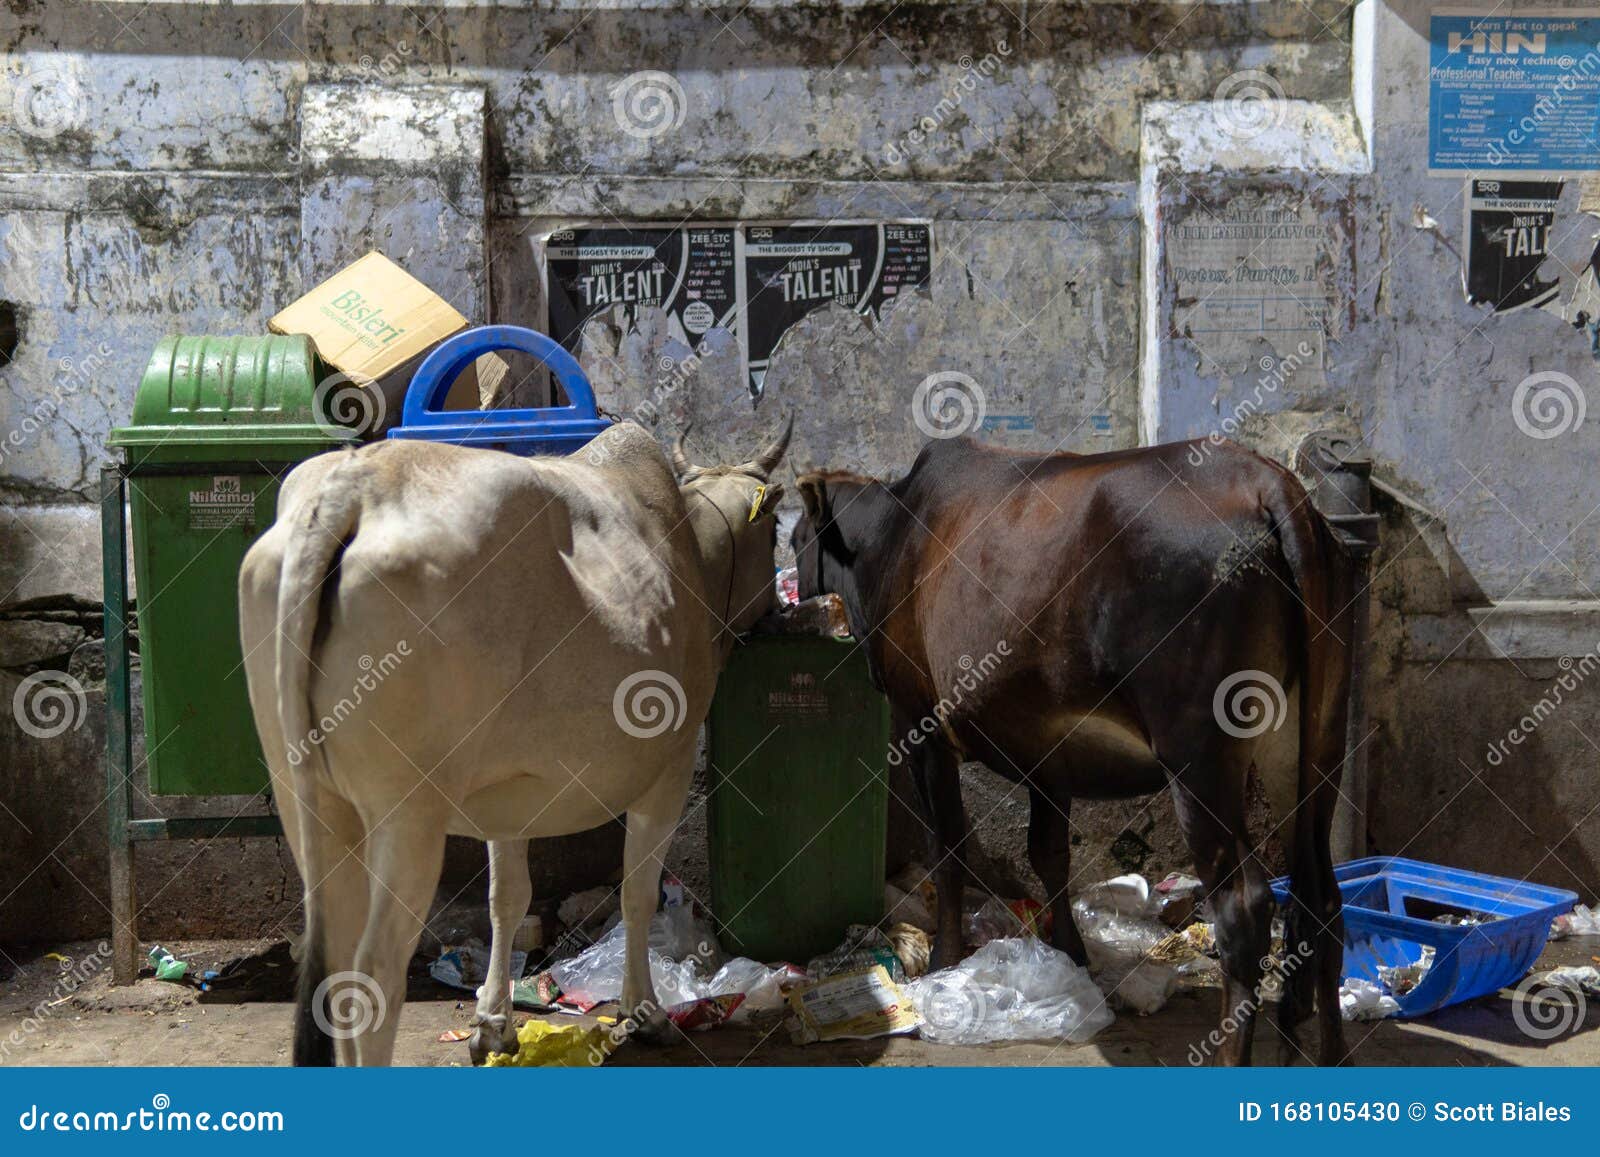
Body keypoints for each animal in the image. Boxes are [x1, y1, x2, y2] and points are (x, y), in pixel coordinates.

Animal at [239, 420, 790, 1065]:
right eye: (776, 531)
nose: (780, 608)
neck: (691, 557)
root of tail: (354, 483)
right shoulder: (670, 770)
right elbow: (637, 893)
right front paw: (645, 1012)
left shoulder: (509, 797)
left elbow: (507, 898)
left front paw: (493, 1023)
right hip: (409, 810)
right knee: (371, 975)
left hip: (310, 799)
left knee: (334, 961)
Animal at [791, 436, 1355, 1065]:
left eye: (793, 537)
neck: (892, 536)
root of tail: (1271, 484)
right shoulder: (1048, 751)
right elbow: (1048, 854)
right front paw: (1070, 952)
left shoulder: (923, 725)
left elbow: (949, 848)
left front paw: (944, 959)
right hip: (1313, 743)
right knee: (1323, 896)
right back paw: (1330, 1050)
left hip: (1200, 758)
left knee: (1245, 908)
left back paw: (1231, 1055)